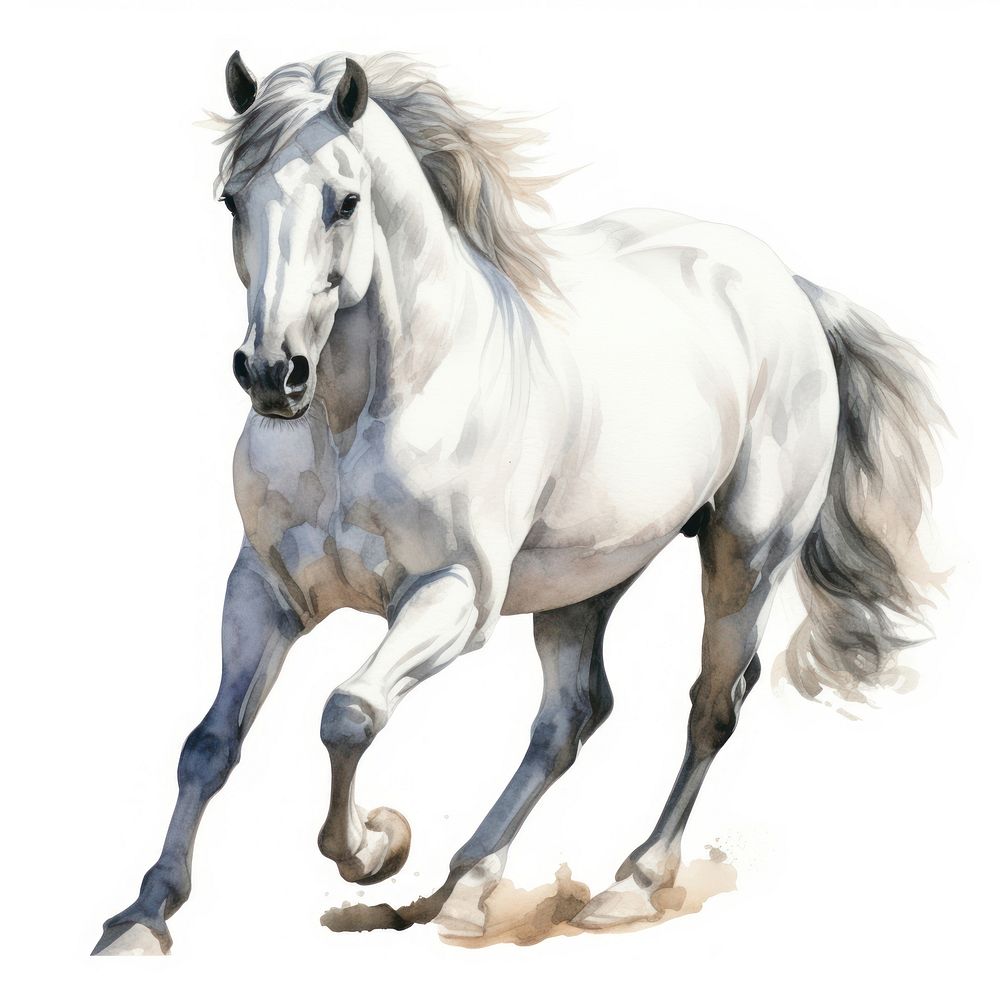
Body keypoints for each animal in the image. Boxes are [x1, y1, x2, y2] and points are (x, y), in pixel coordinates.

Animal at [93, 50, 944, 955]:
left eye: (345, 200)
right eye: (232, 198)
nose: (271, 374)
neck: (357, 420)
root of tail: (787, 287)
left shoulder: (455, 598)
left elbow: (349, 712)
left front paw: (377, 845)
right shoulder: (264, 588)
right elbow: (209, 744)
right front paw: (142, 917)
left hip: (748, 558)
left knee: (711, 707)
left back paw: (629, 886)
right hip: (586, 582)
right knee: (571, 718)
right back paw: (467, 886)